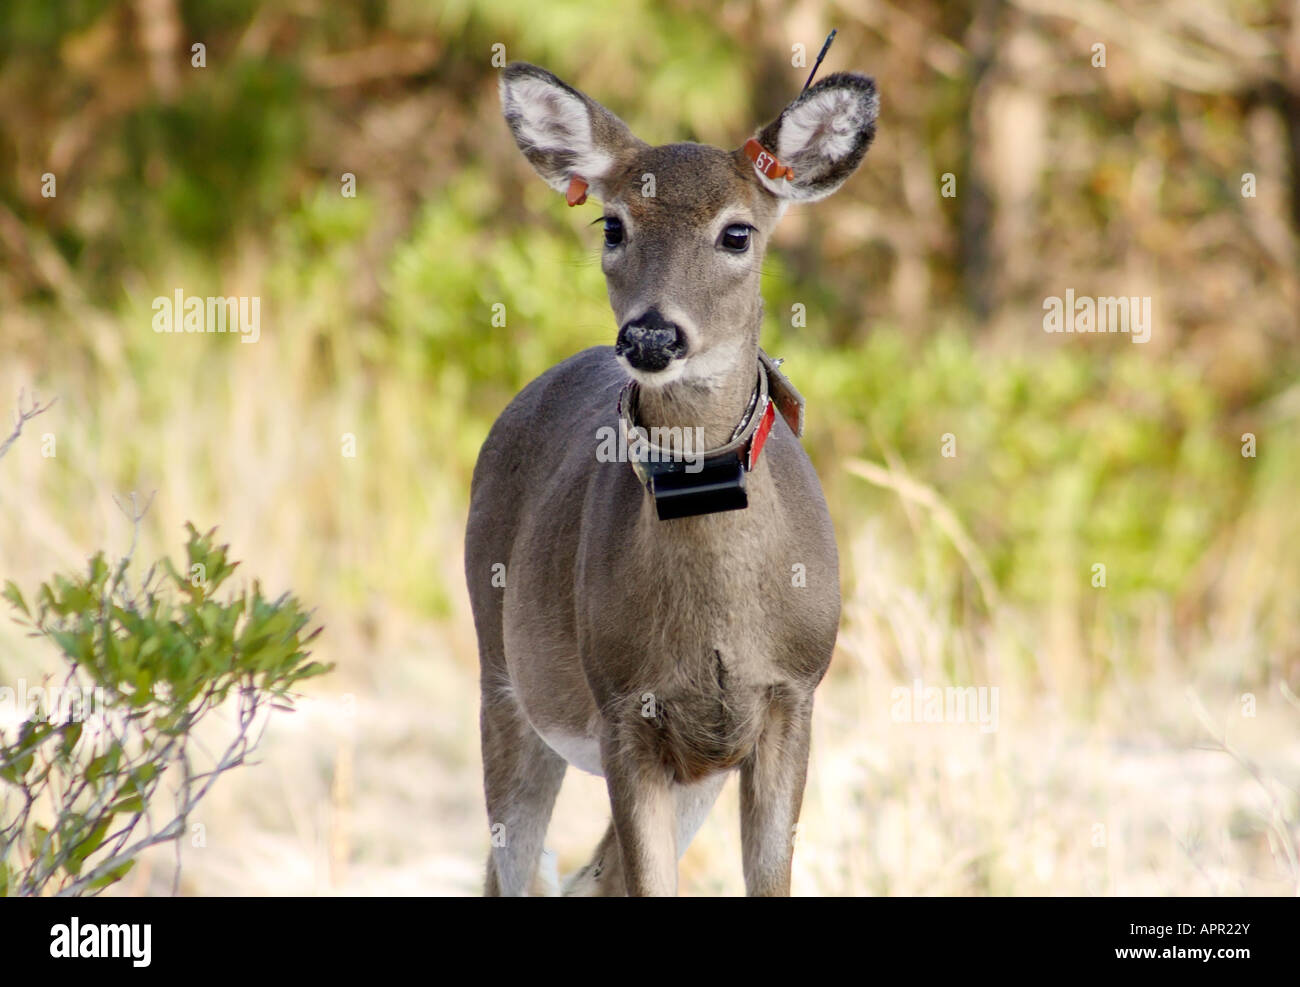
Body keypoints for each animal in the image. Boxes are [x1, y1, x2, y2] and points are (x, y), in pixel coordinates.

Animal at [465, 58, 878, 896]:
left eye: (737, 232)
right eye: (613, 225)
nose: (652, 335)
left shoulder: (793, 693)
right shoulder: (623, 706)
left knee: (585, 875)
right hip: (502, 675)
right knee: (516, 867)